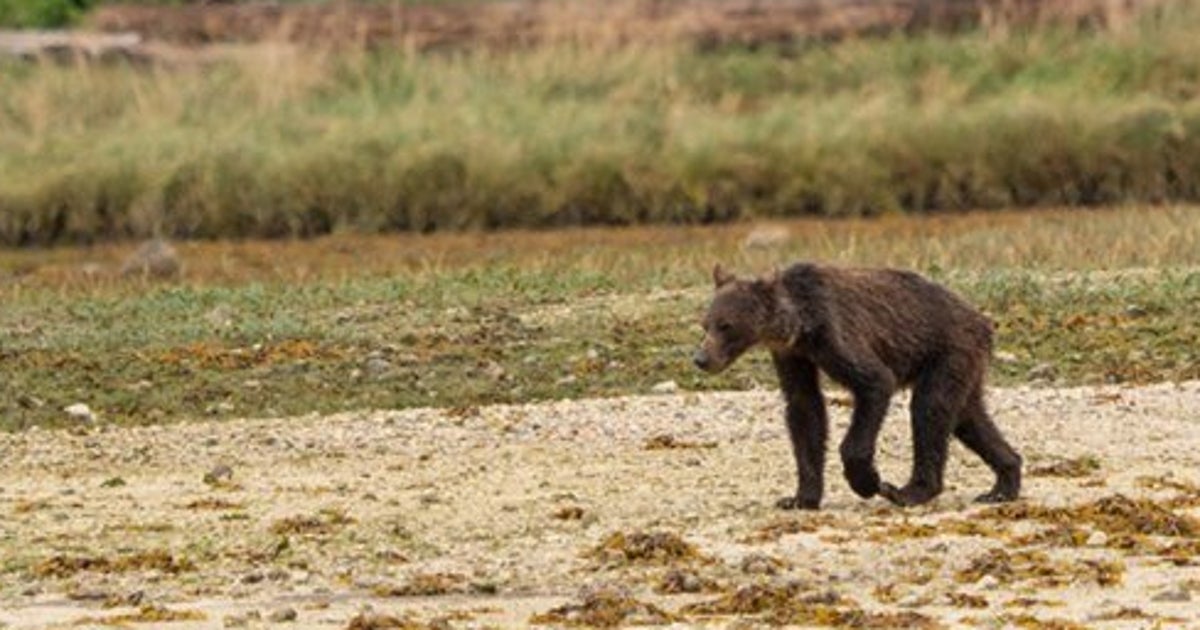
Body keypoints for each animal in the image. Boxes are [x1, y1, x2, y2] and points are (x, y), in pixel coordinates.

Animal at [693, 262, 1022, 509]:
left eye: (726, 325)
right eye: (705, 324)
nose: (701, 358)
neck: (800, 325)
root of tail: (983, 320)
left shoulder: (835, 334)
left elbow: (875, 382)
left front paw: (867, 481)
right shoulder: (792, 355)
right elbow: (805, 409)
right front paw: (799, 498)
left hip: (949, 349)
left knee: (930, 408)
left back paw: (907, 491)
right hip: (963, 364)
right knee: (968, 417)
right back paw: (1003, 484)